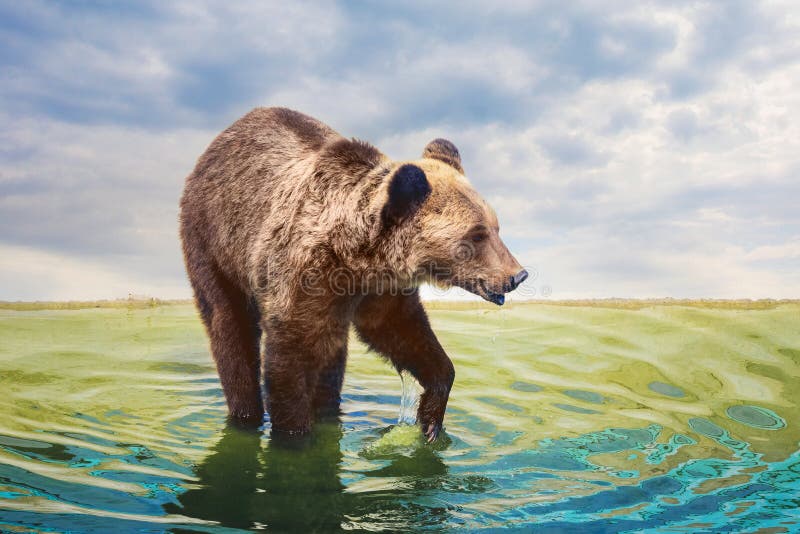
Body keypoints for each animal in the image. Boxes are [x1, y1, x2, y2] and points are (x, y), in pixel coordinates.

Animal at [180, 107, 528, 442]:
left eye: (496, 227)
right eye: (476, 234)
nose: (517, 275)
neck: (356, 257)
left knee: (332, 356)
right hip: (213, 240)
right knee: (230, 326)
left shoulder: (380, 289)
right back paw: (246, 414)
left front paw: (430, 419)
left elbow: (403, 333)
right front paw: (294, 435)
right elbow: (291, 358)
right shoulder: (304, 276)